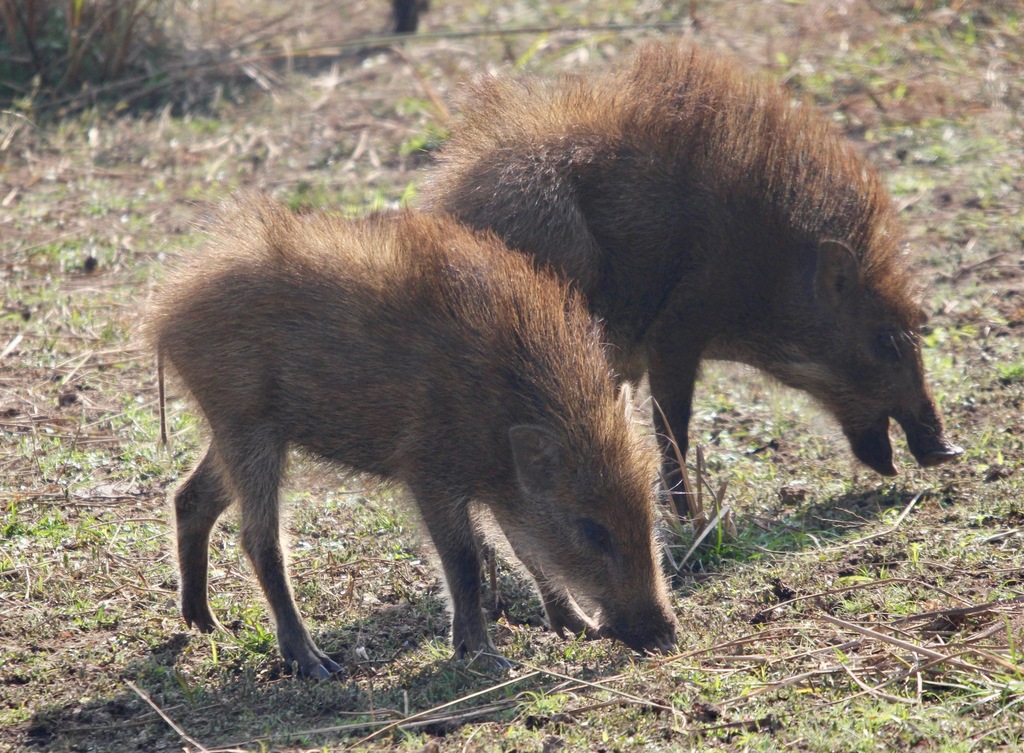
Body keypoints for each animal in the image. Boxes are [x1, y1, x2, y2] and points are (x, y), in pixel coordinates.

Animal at [144, 196, 678, 678]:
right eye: (592, 529)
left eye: (648, 512)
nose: (666, 637)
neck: (508, 394)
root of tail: (166, 309)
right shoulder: (430, 472)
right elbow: (464, 559)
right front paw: (483, 657)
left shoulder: (504, 490)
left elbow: (526, 549)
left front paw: (577, 626)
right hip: (247, 427)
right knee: (260, 539)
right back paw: (314, 663)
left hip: (240, 432)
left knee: (189, 498)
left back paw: (205, 623)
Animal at [419, 42, 963, 505]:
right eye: (885, 340)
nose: (948, 451)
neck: (771, 271)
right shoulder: (676, 335)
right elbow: (672, 429)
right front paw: (690, 517)